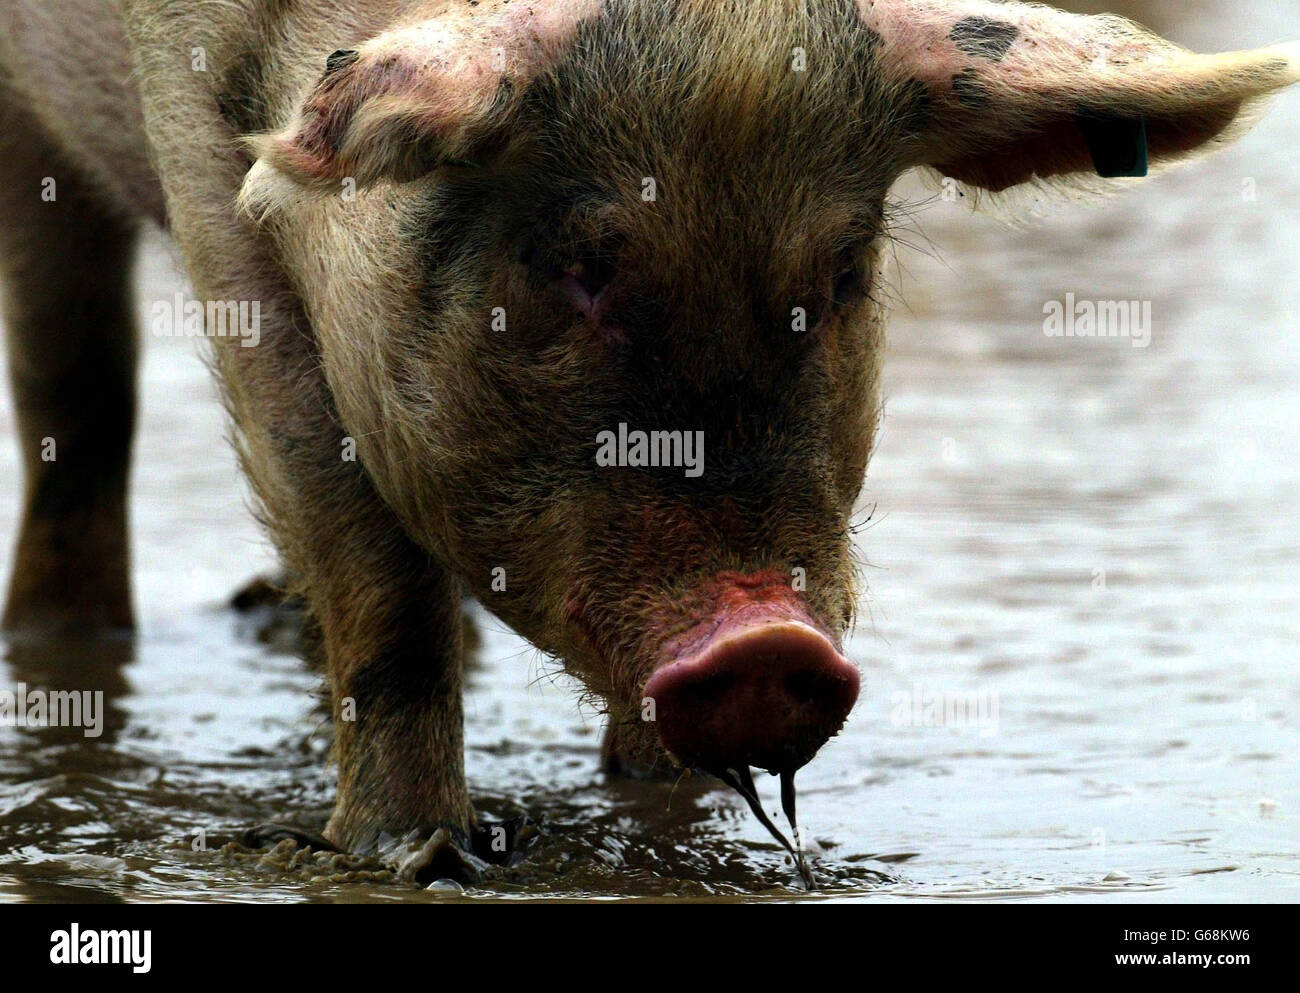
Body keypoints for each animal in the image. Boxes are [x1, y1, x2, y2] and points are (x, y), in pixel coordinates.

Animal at [1, 0, 1296, 871]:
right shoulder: (212, 181)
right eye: (577, 263)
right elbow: (367, 565)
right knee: (78, 402)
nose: (766, 642)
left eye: (837, 273)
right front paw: (411, 854)